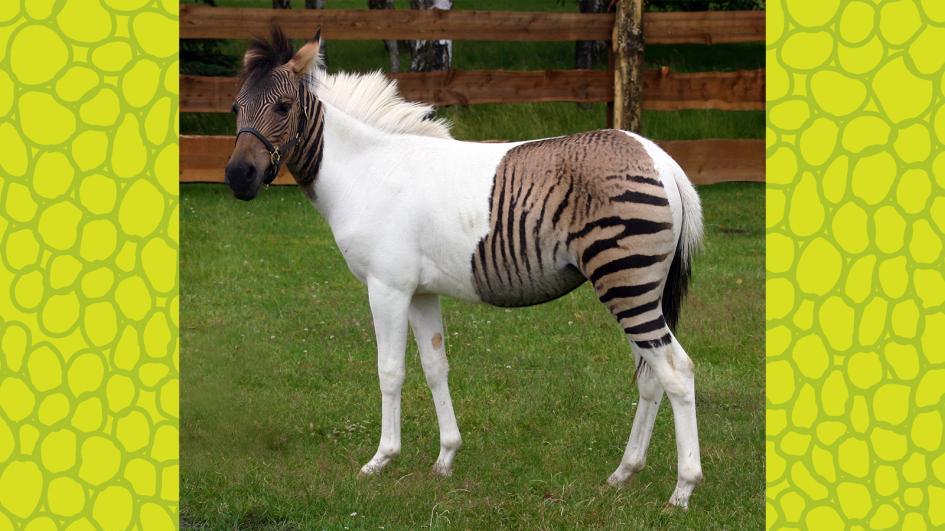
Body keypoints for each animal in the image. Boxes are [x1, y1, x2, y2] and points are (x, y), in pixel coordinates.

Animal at [223, 27, 705, 509]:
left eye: (283, 107)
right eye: (234, 108)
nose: (237, 177)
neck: (366, 173)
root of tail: (658, 157)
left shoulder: (387, 287)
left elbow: (390, 371)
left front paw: (381, 460)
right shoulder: (420, 292)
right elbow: (435, 367)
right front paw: (446, 458)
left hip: (626, 282)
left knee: (676, 372)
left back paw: (683, 489)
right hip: (637, 287)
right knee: (651, 376)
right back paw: (624, 472)